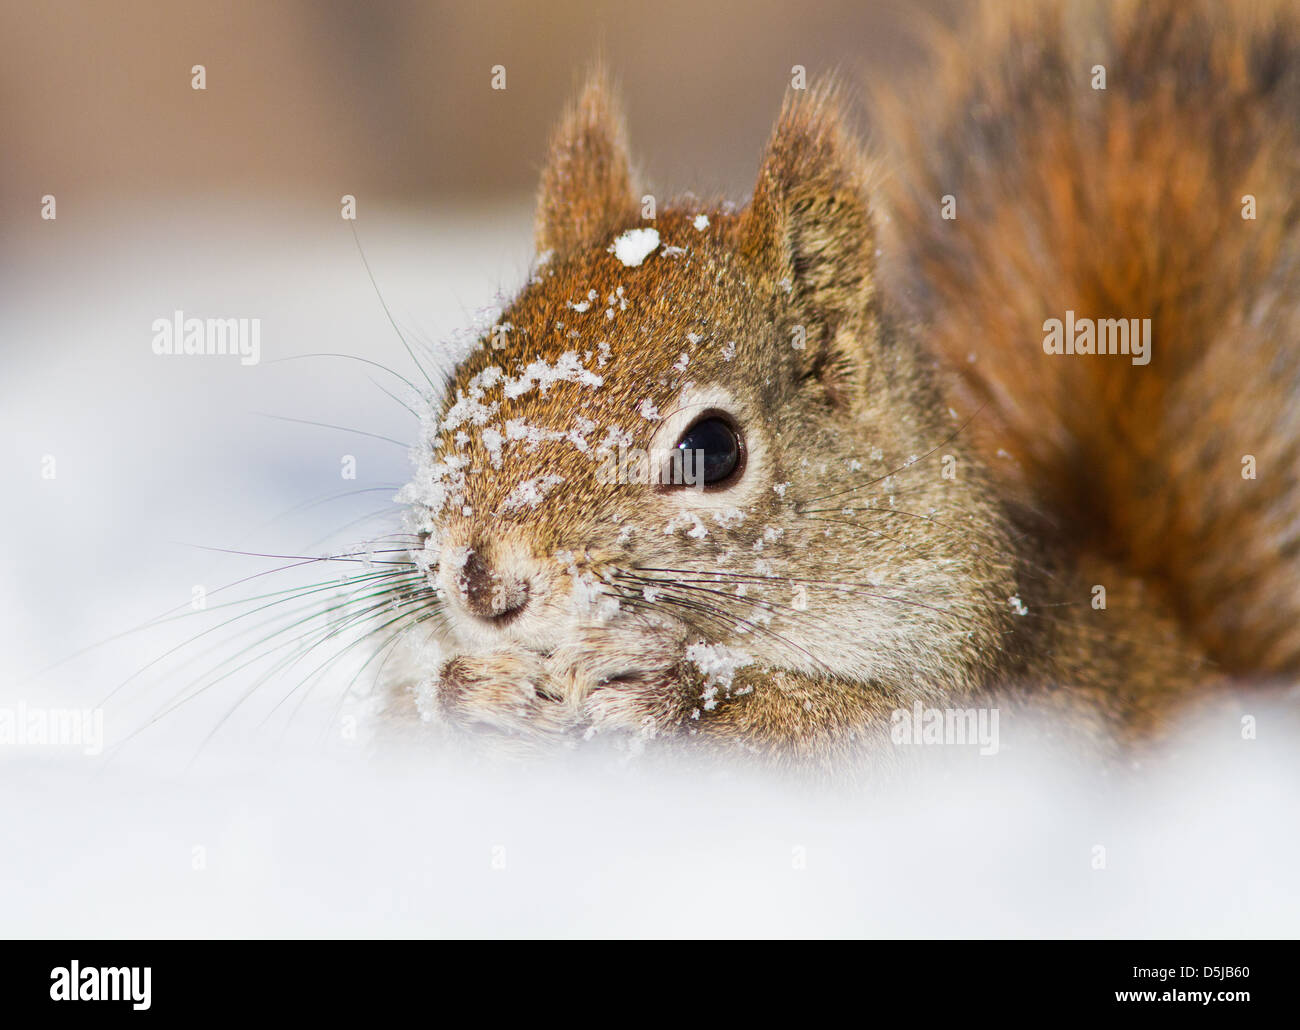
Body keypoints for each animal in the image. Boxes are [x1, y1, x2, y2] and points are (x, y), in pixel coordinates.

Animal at [379, 0, 1300, 778]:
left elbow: (818, 726)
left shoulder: (974, 711)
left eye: (711, 450)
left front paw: (669, 695)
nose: (481, 582)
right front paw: (472, 692)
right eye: (457, 390)